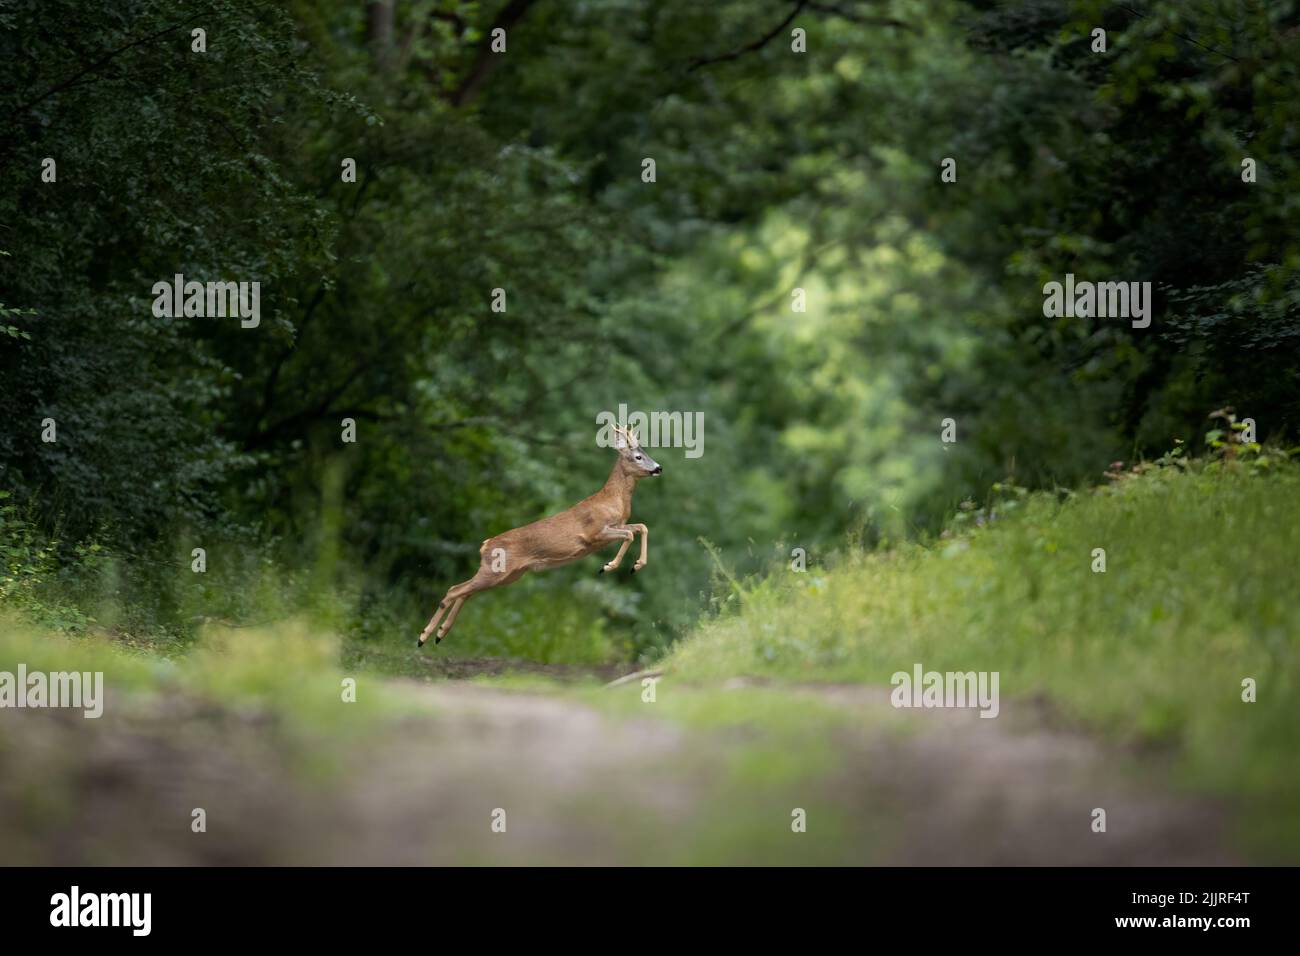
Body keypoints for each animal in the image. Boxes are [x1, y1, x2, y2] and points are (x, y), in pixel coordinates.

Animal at [417, 425, 662, 648]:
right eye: (638, 456)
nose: (658, 468)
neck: (613, 500)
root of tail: (485, 545)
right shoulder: (595, 532)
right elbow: (629, 534)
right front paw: (609, 566)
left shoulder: (616, 526)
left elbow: (641, 527)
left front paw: (636, 565)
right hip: (496, 570)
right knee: (454, 590)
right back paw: (423, 636)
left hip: (508, 575)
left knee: (465, 592)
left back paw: (440, 634)